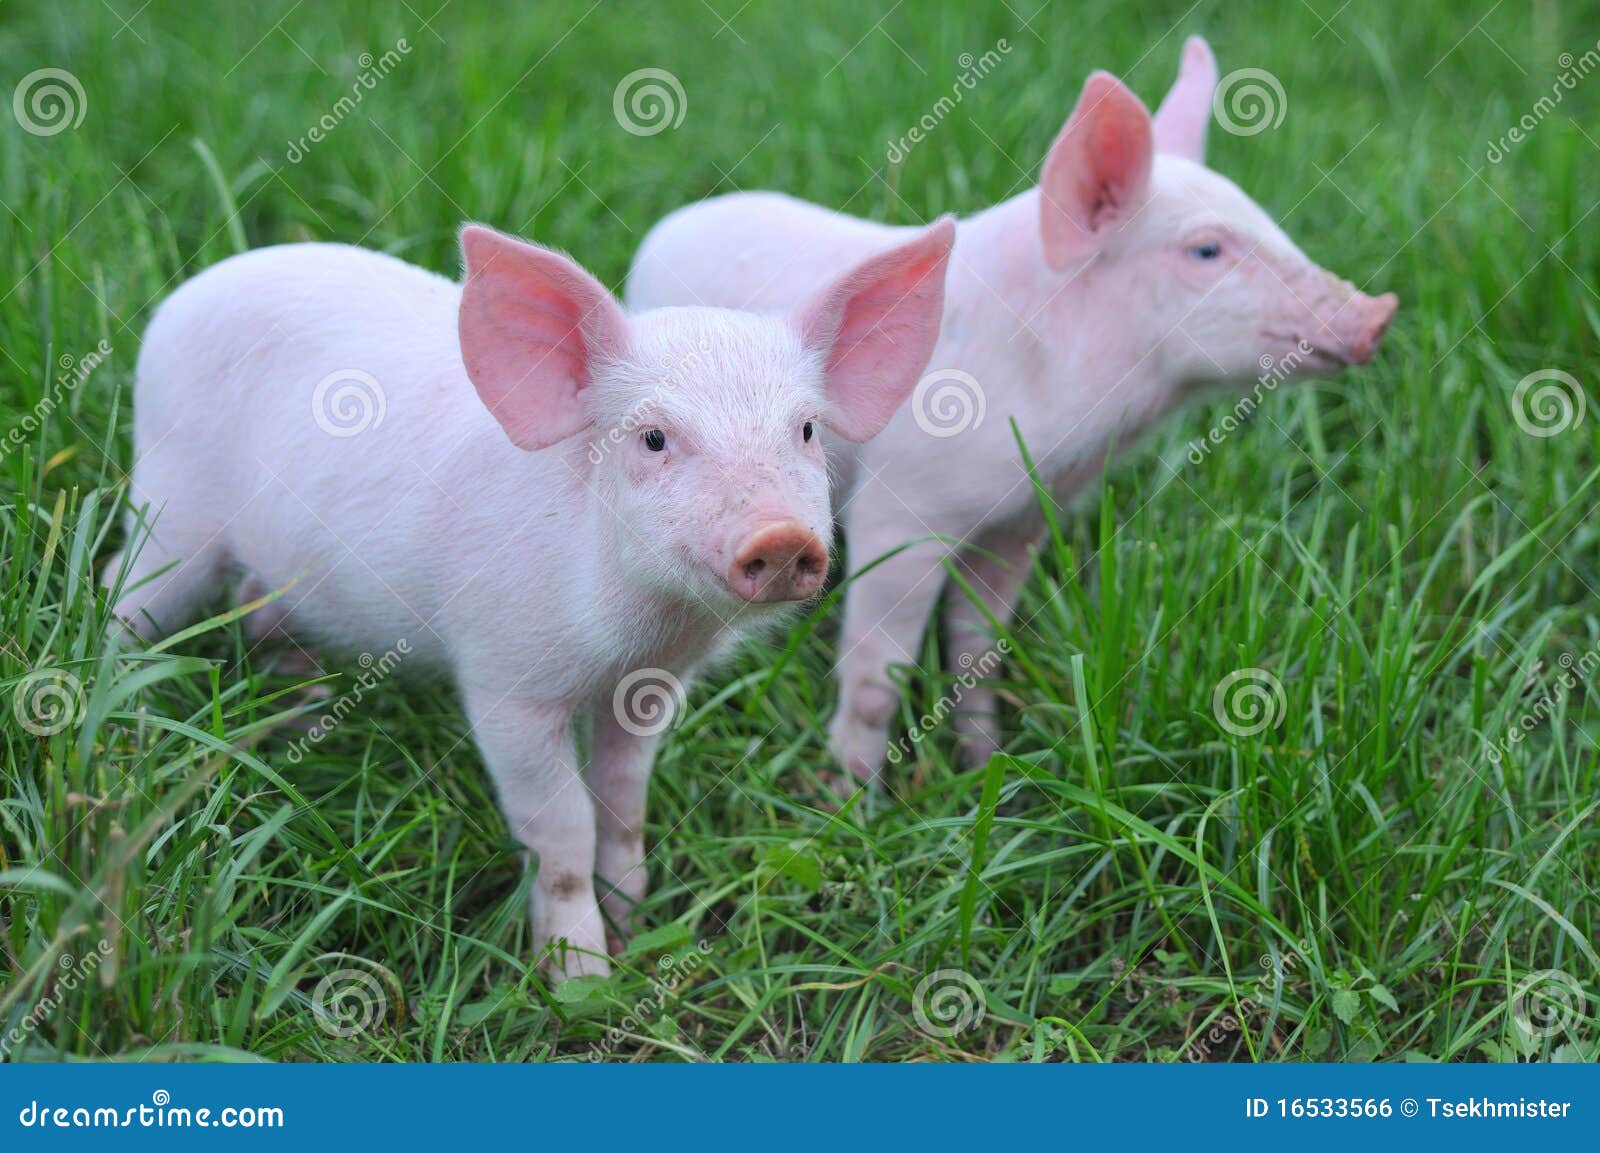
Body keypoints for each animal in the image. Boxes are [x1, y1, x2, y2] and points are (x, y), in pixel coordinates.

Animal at [107, 218, 955, 977]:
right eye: (653, 438)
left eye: (806, 430)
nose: (780, 535)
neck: (646, 631)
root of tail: (182, 298)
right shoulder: (506, 684)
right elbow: (562, 827)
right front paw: (583, 979)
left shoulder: (651, 689)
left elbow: (623, 799)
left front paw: (637, 915)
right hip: (171, 510)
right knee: (121, 597)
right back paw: (123, 724)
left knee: (258, 602)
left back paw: (303, 706)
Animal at [626, 37, 1398, 785]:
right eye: (1206, 249)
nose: (1378, 311)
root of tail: (667, 227)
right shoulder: (904, 505)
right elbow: (876, 675)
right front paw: (851, 801)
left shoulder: (1022, 518)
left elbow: (980, 655)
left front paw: (987, 771)